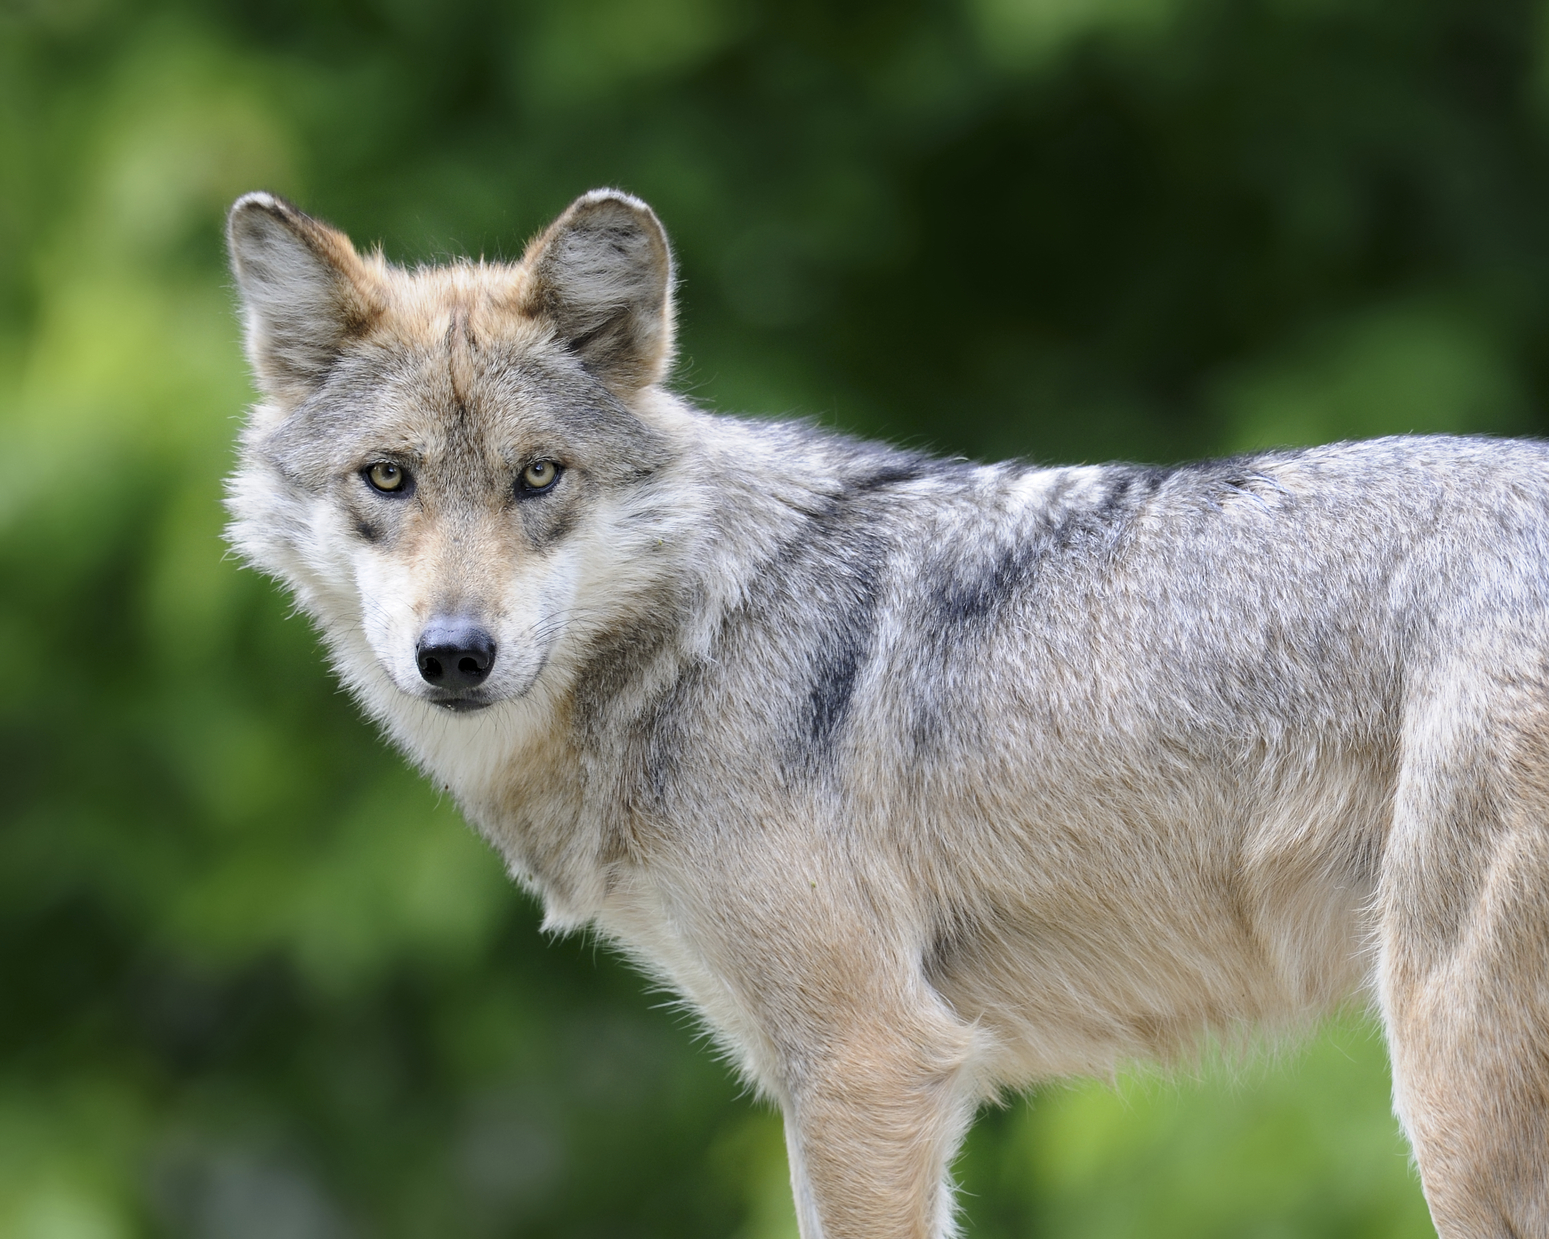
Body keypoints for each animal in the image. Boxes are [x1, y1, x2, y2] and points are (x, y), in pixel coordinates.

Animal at [225, 187, 1549, 1238]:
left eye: (537, 476)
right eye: (388, 478)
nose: (455, 655)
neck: (698, 636)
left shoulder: (870, 1065)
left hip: (1450, 1097)